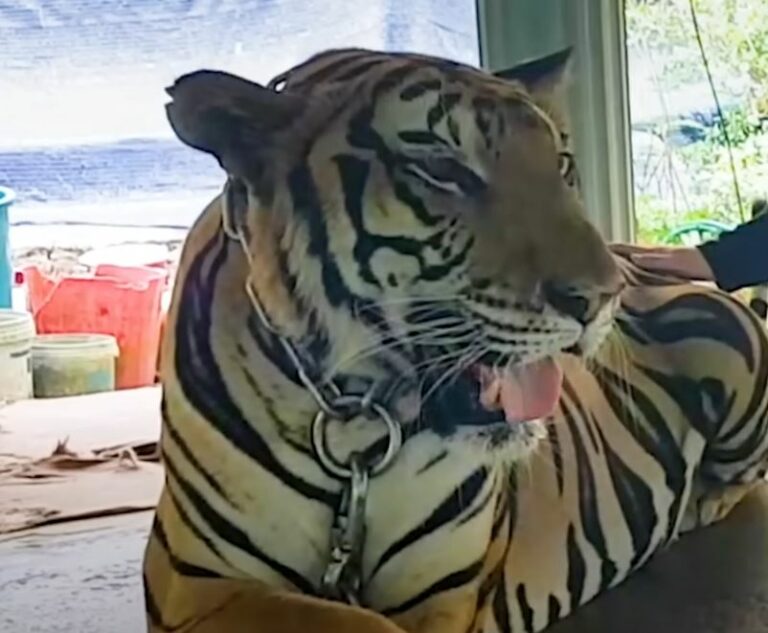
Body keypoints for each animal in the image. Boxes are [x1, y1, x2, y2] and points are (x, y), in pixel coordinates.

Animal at [143, 47, 768, 633]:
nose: (604, 294)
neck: (355, 425)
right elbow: (349, 620)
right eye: (444, 169)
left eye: (562, 165)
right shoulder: (193, 583)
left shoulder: (448, 594)